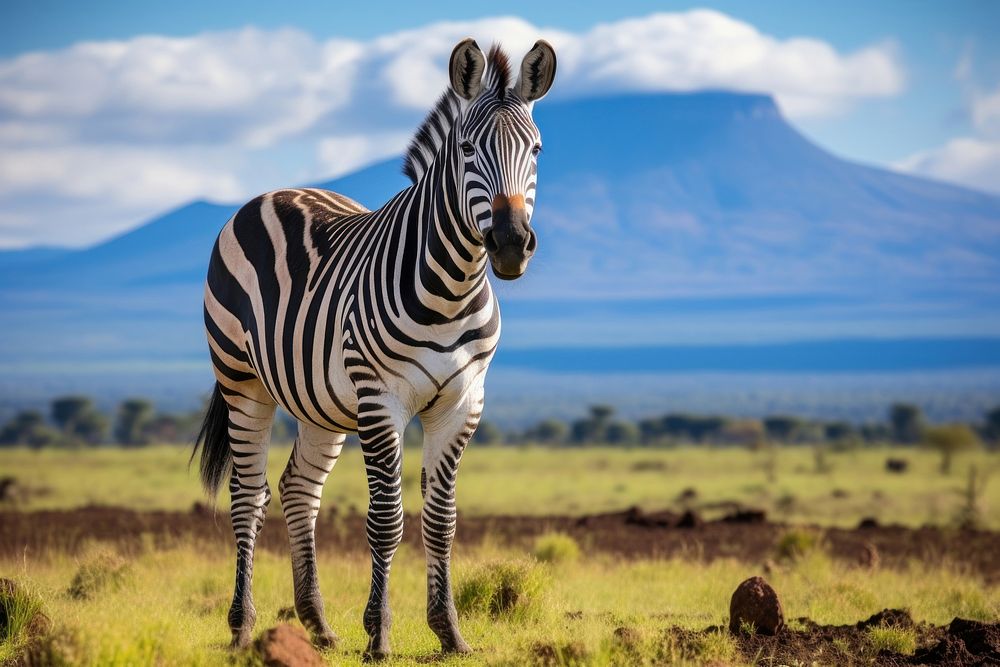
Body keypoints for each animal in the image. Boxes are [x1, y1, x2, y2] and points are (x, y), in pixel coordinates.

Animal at [193, 38, 556, 659]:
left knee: (298, 490)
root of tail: (274, 192)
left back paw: (317, 625)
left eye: (535, 149)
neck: (453, 286)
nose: (511, 246)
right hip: (243, 382)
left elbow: (441, 520)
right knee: (248, 496)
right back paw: (241, 627)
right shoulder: (381, 400)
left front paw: (449, 633)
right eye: (466, 149)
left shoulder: (463, 403)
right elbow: (387, 519)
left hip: (321, 403)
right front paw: (380, 635)